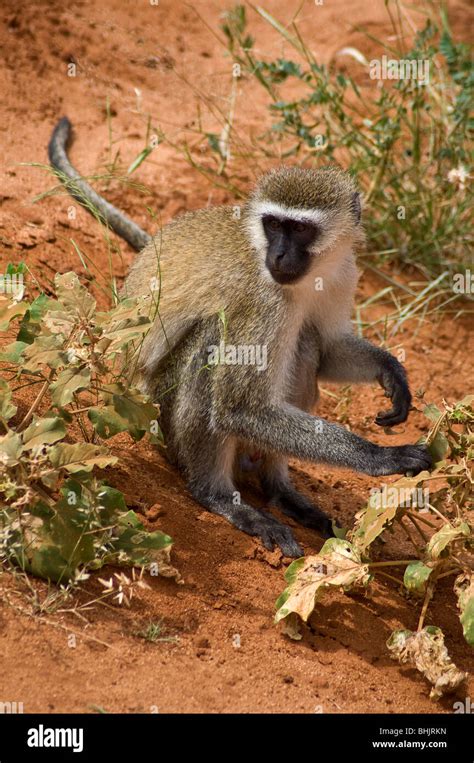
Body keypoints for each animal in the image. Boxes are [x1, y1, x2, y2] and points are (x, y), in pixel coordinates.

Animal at [48, 117, 432, 557]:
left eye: (299, 229)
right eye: (273, 224)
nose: (278, 256)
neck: (308, 277)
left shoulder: (343, 273)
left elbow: (331, 347)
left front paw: (392, 372)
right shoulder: (263, 300)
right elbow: (239, 408)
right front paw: (380, 457)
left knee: (306, 342)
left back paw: (278, 488)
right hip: (158, 414)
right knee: (214, 342)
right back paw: (217, 495)